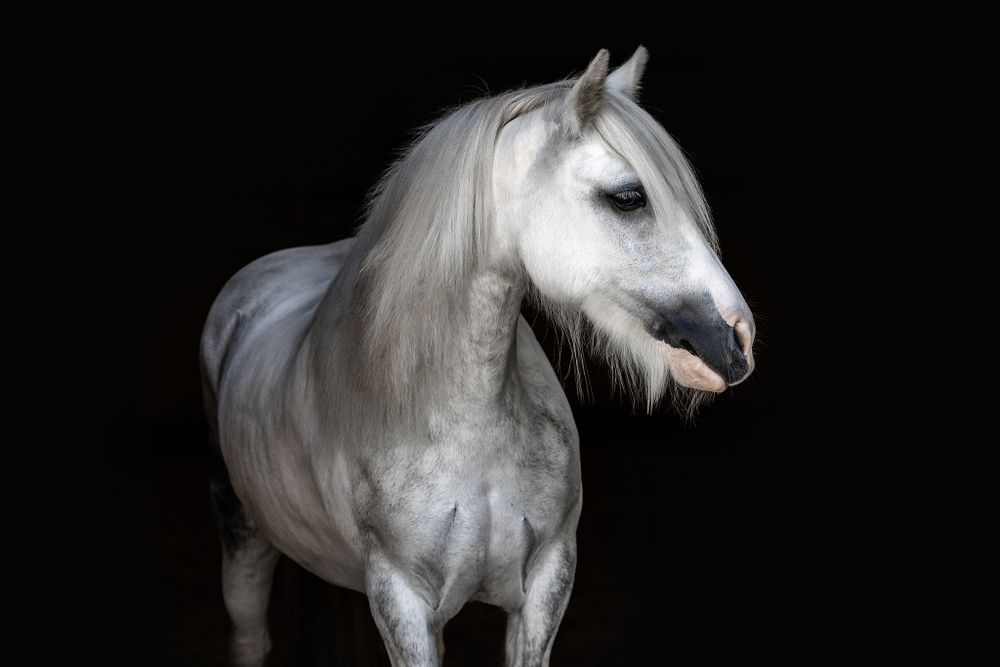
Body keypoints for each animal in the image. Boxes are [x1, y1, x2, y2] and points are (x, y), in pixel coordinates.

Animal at [201, 46, 755, 666]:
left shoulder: (547, 585)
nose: (738, 339)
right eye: (629, 197)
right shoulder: (402, 602)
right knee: (250, 638)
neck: (466, 419)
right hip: (244, 539)